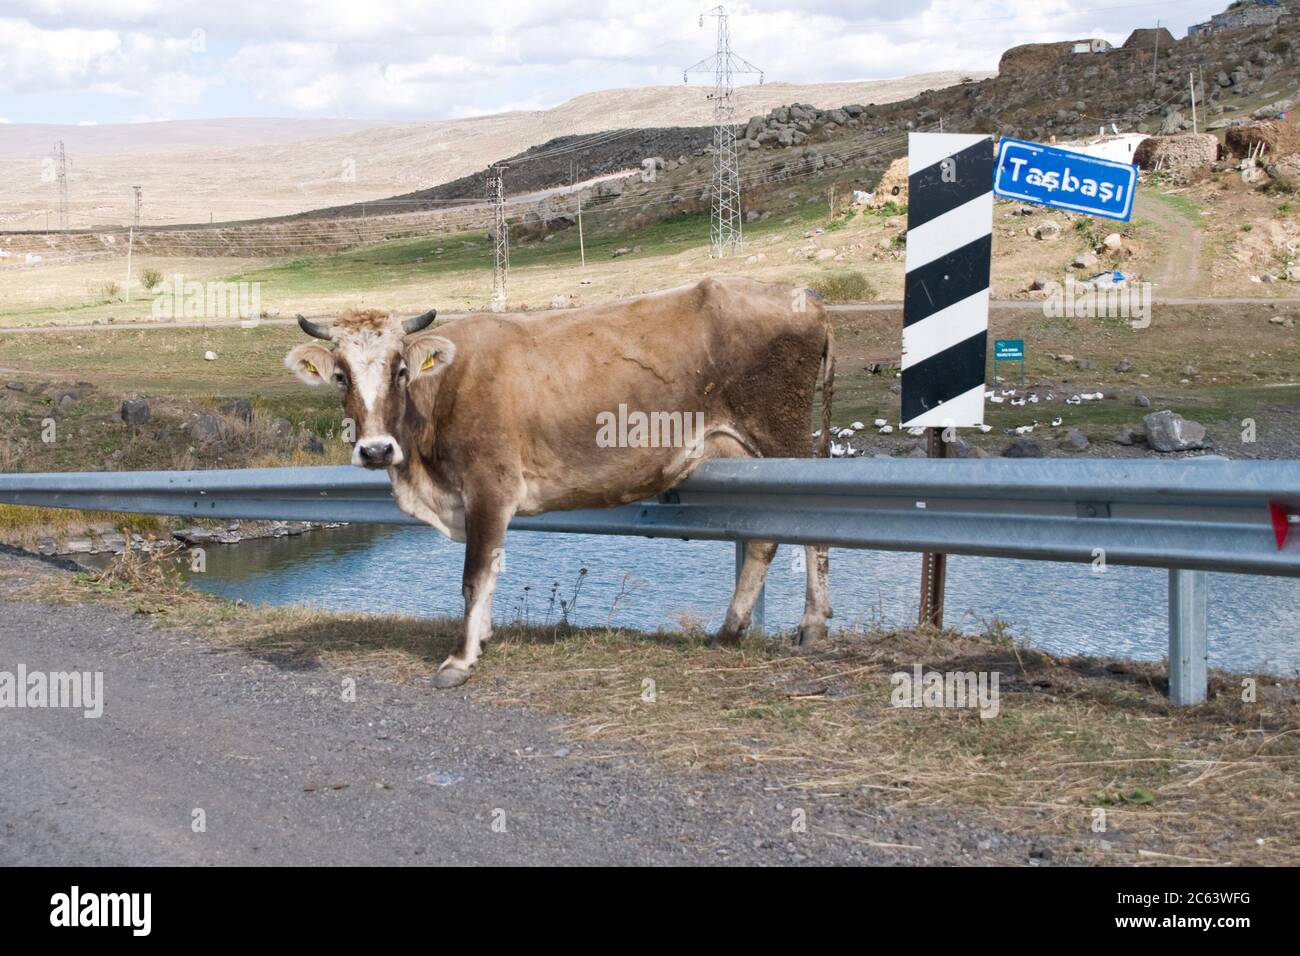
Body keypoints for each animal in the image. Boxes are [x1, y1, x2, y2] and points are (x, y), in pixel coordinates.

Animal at [285, 277, 834, 688]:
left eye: (400, 370)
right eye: (340, 375)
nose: (376, 450)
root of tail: (806, 296)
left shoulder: (489, 487)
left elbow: (474, 575)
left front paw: (460, 660)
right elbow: (491, 573)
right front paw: (482, 638)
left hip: (786, 438)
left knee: (812, 534)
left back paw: (811, 626)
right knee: (763, 539)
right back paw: (730, 628)